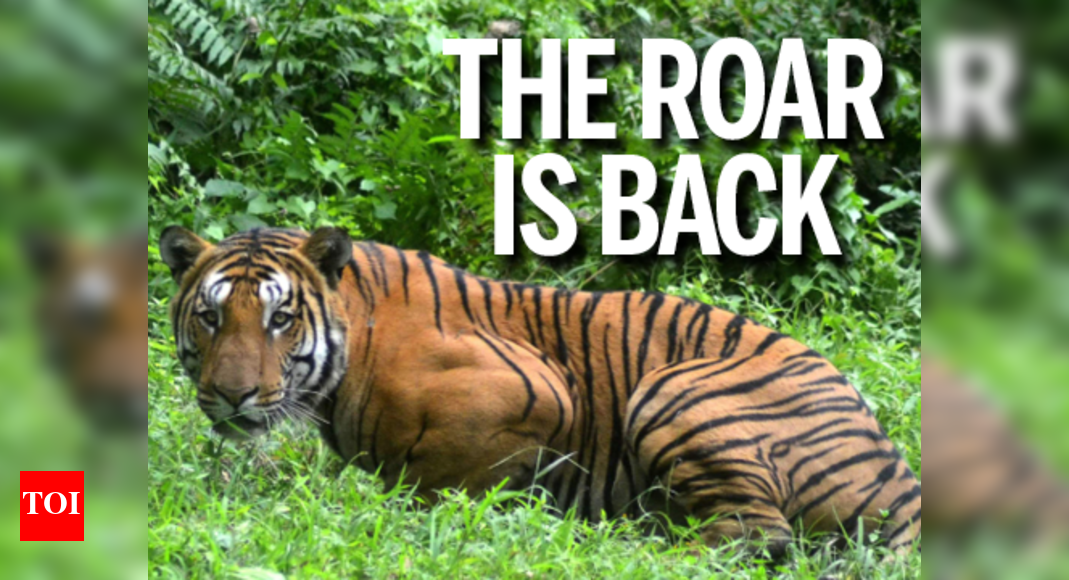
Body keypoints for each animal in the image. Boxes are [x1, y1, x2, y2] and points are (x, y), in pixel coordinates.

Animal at [159, 226, 921, 556]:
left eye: (280, 319)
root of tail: (904, 481)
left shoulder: (537, 391)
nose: (231, 395)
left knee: (755, 537)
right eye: (211, 316)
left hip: (674, 389)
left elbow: (440, 484)